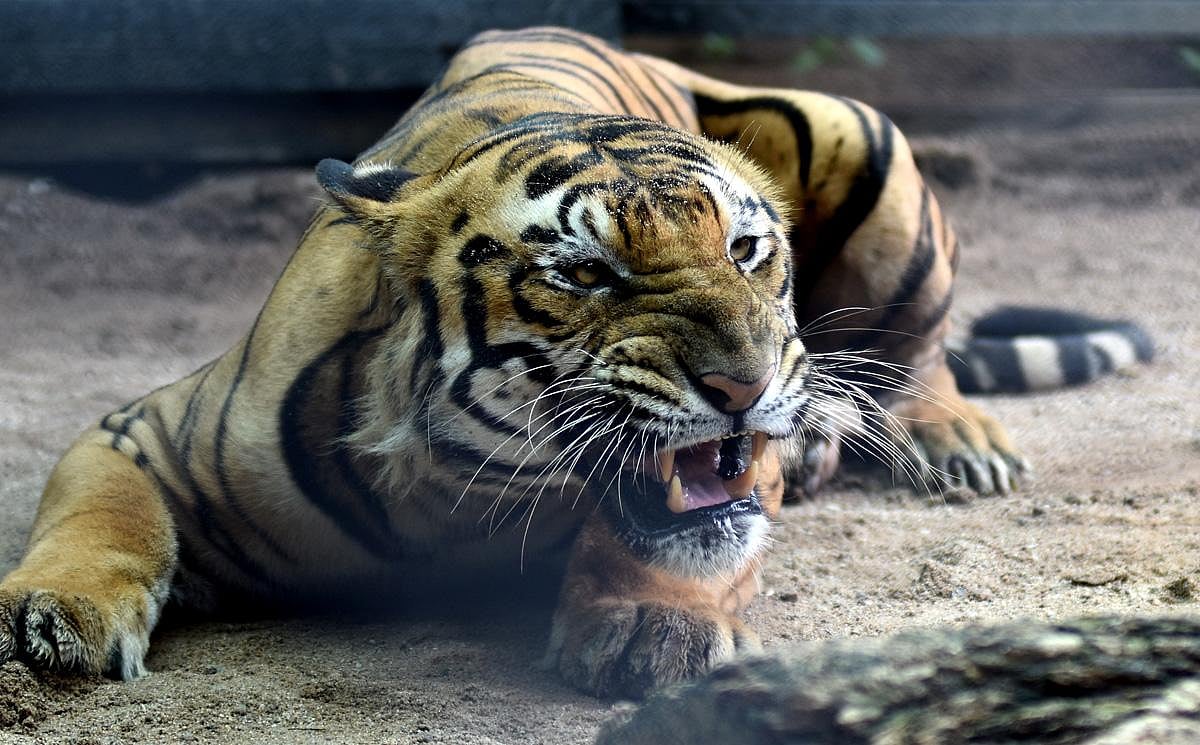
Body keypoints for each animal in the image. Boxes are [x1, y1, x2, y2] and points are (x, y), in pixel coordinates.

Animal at [0, 27, 1152, 699]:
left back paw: (953, 440)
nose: (745, 386)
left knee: (914, 349)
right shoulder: (142, 433)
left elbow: (701, 543)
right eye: (587, 272)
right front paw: (51, 616)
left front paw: (652, 627)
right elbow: (103, 517)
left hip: (865, 135)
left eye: (747, 250)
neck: (459, 494)